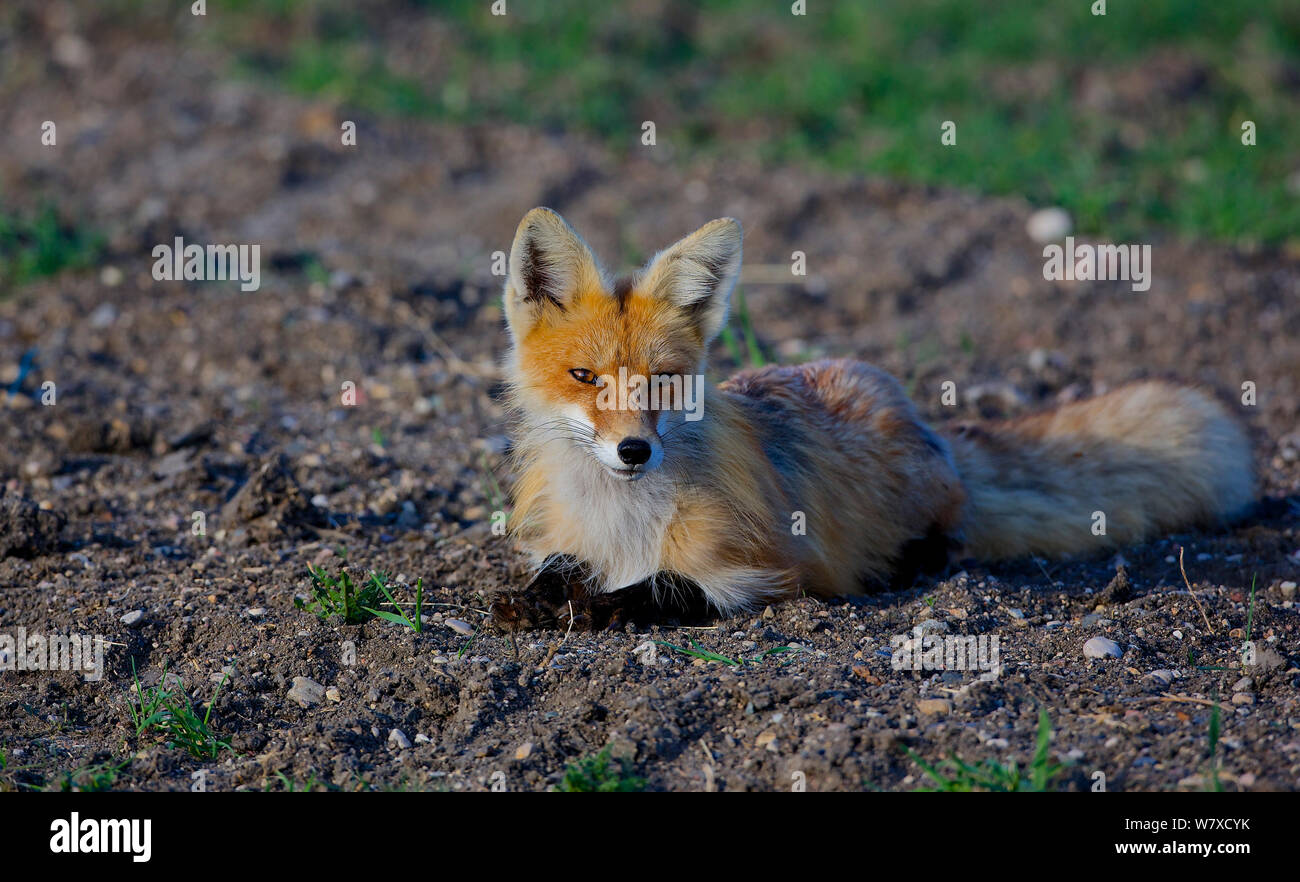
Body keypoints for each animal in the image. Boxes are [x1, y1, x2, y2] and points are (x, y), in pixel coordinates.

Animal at [500, 207, 1256, 614]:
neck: (622, 520)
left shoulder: (764, 572)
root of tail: (908, 406)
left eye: (661, 383)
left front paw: (598, 607)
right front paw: (534, 598)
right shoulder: (569, 538)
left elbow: (659, 588)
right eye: (583, 377)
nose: (634, 451)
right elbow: (558, 565)